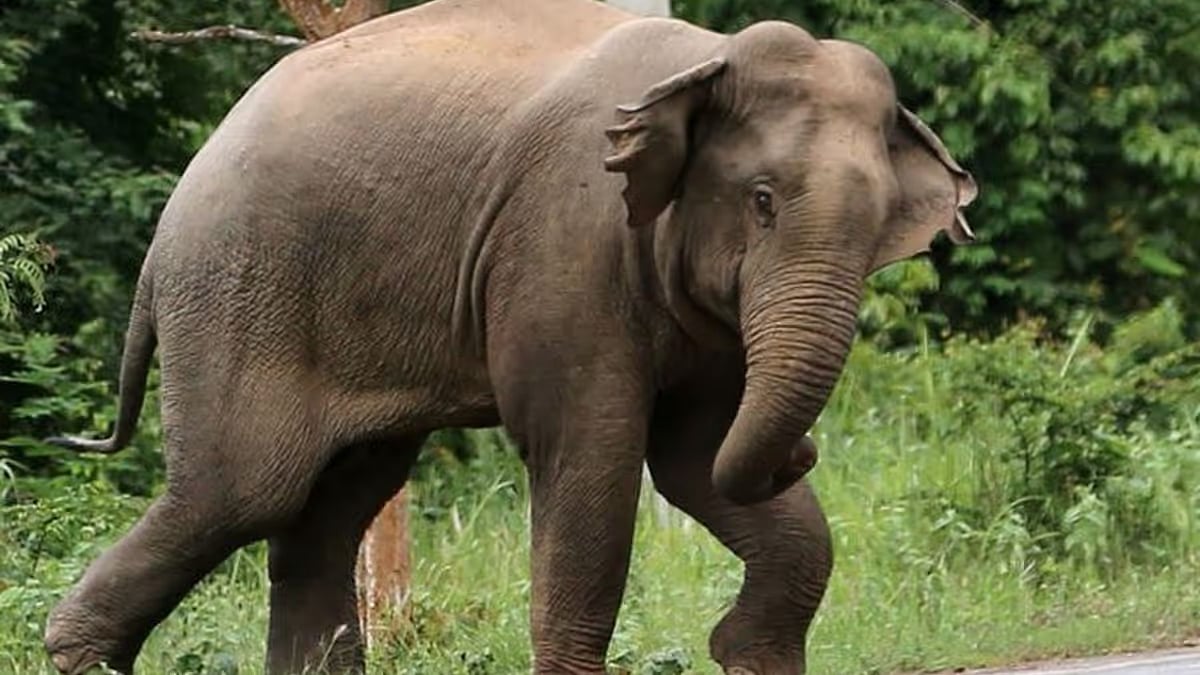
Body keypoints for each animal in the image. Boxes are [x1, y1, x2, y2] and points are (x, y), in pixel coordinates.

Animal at [43, 0, 977, 673]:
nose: (807, 453)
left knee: (333, 505)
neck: (700, 61)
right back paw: (73, 650)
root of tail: (166, 227)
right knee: (246, 489)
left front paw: (743, 651)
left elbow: (697, 455)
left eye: (881, 227)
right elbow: (594, 453)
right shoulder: (565, 243)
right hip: (241, 288)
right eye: (762, 200)